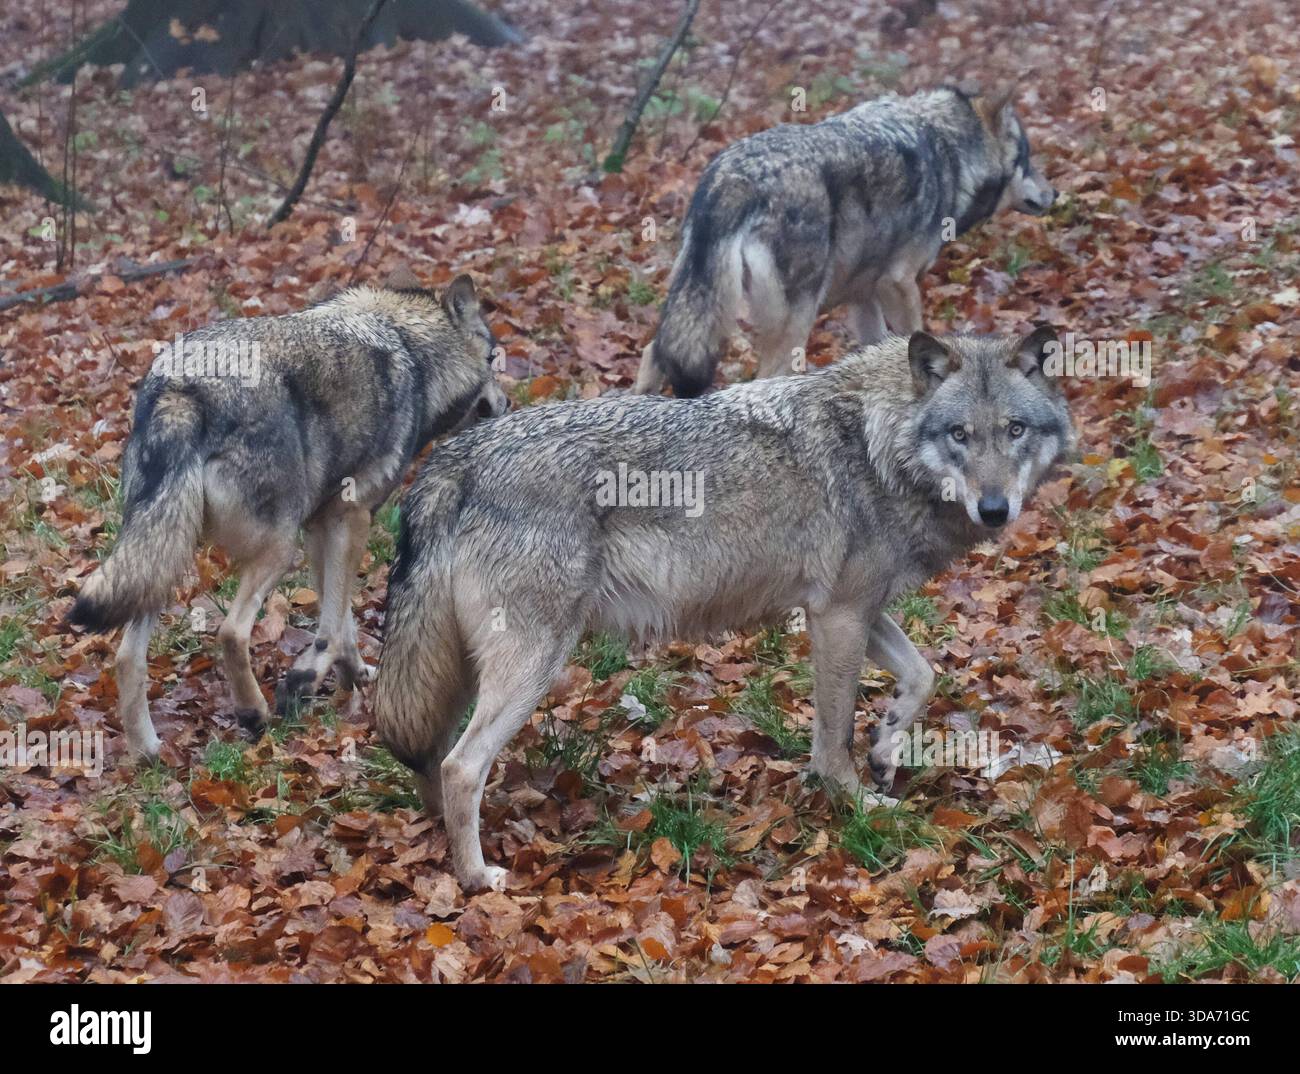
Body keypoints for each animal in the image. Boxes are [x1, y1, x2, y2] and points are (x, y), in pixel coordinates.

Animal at [69, 274, 507, 760]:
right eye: (494, 358)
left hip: (164, 554)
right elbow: (333, 624)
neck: (412, 349)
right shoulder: (352, 519)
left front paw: (352, 677)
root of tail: (181, 391)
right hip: (279, 550)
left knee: (127, 655)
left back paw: (148, 751)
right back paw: (253, 714)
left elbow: (342, 619)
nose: (507, 402)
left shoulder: (321, 527)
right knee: (231, 632)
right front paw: (307, 680)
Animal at [375, 326, 1074, 891]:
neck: (879, 445)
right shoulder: (840, 617)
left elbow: (926, 676)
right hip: (534, 664)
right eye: (959, 434)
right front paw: (853, 803)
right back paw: (475, 877)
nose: (994, 509)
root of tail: (450, 460)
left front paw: (886, 747)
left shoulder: (851, 610)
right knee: (461, 766)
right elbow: (833, 737)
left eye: (1013, 430)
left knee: (430, 753)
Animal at [634, 85, 1056, 397]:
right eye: (1027, 157)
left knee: (654, 351)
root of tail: (732, 180)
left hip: (699, 309)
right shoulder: (899, 284)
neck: (948, 146)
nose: (1055, 194)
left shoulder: (864, 296)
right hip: (794, 322)